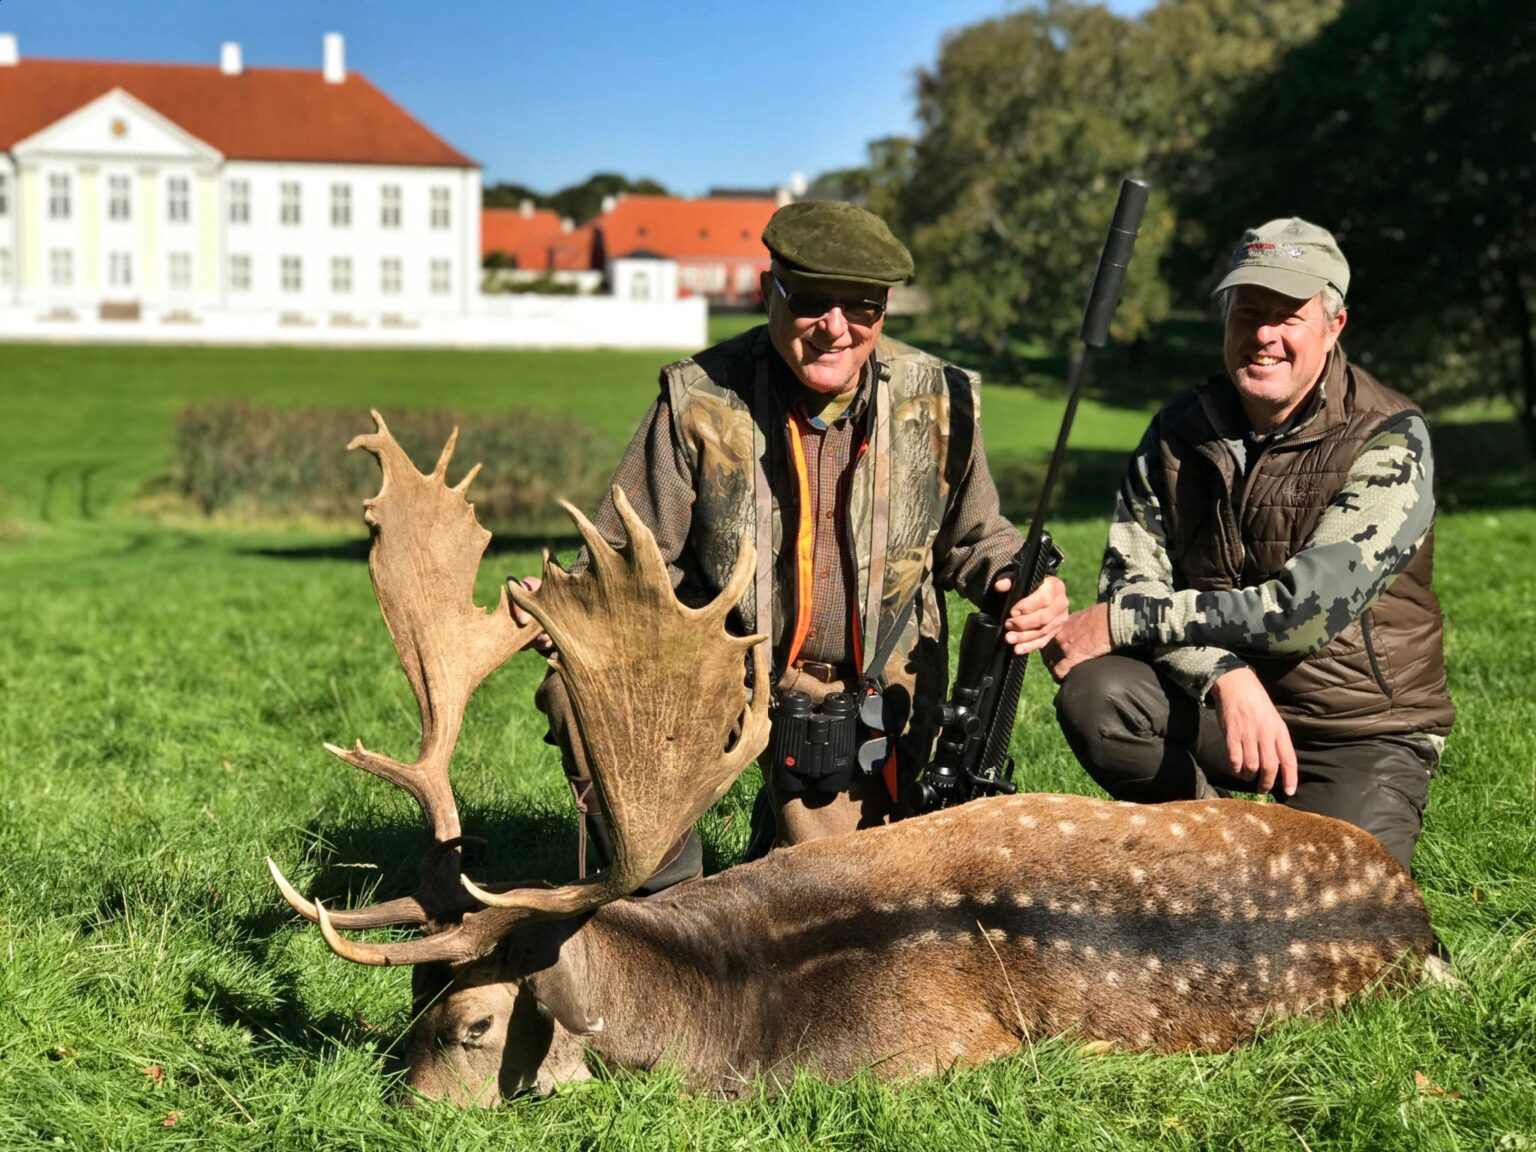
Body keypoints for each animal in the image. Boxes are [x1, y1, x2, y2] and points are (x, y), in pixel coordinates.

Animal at [267, 412, 1446, 1106]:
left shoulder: (925, 1059)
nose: (395, 1108)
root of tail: (1420, 921)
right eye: (412, 1006)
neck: (731, 1005)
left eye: (472, 1025)